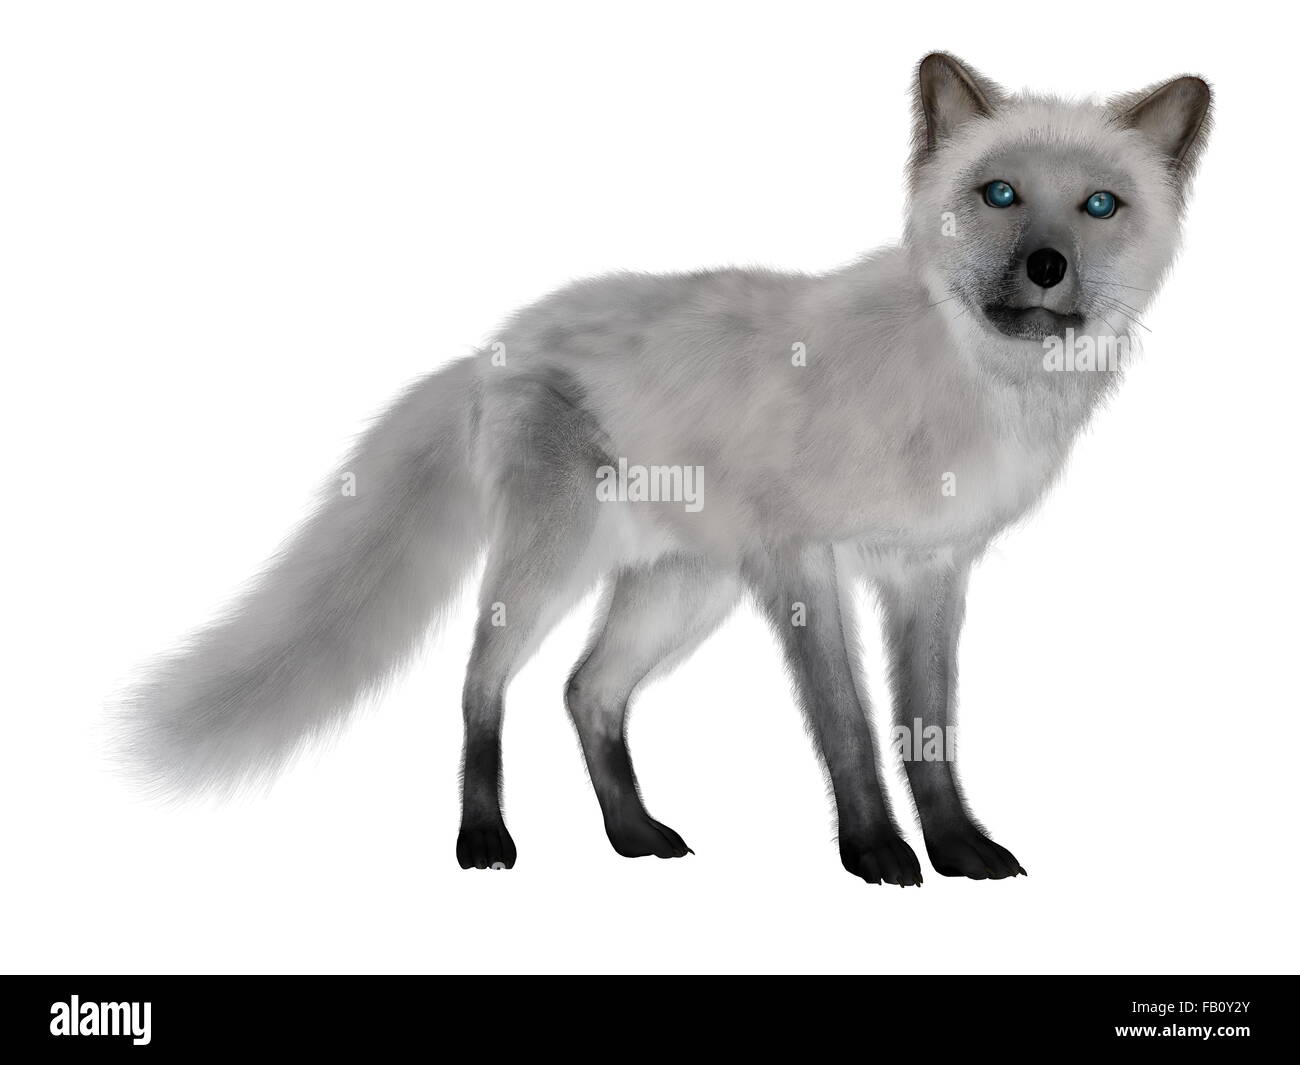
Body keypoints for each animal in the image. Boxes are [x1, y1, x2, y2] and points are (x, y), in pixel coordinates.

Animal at [113, 54, 1212, 885]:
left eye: (1099, 205)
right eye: (999, 194)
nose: (1044, 267)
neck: (963, 391)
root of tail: (496, 346)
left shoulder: (928, 576)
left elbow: (927, 730)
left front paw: (956, 848)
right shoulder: (803, 565)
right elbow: (849, 726)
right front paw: (875, 853)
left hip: (685, 594)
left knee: (585, 692)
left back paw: (632, 835)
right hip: (555, 567)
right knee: (481, 681)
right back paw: (484, 838)